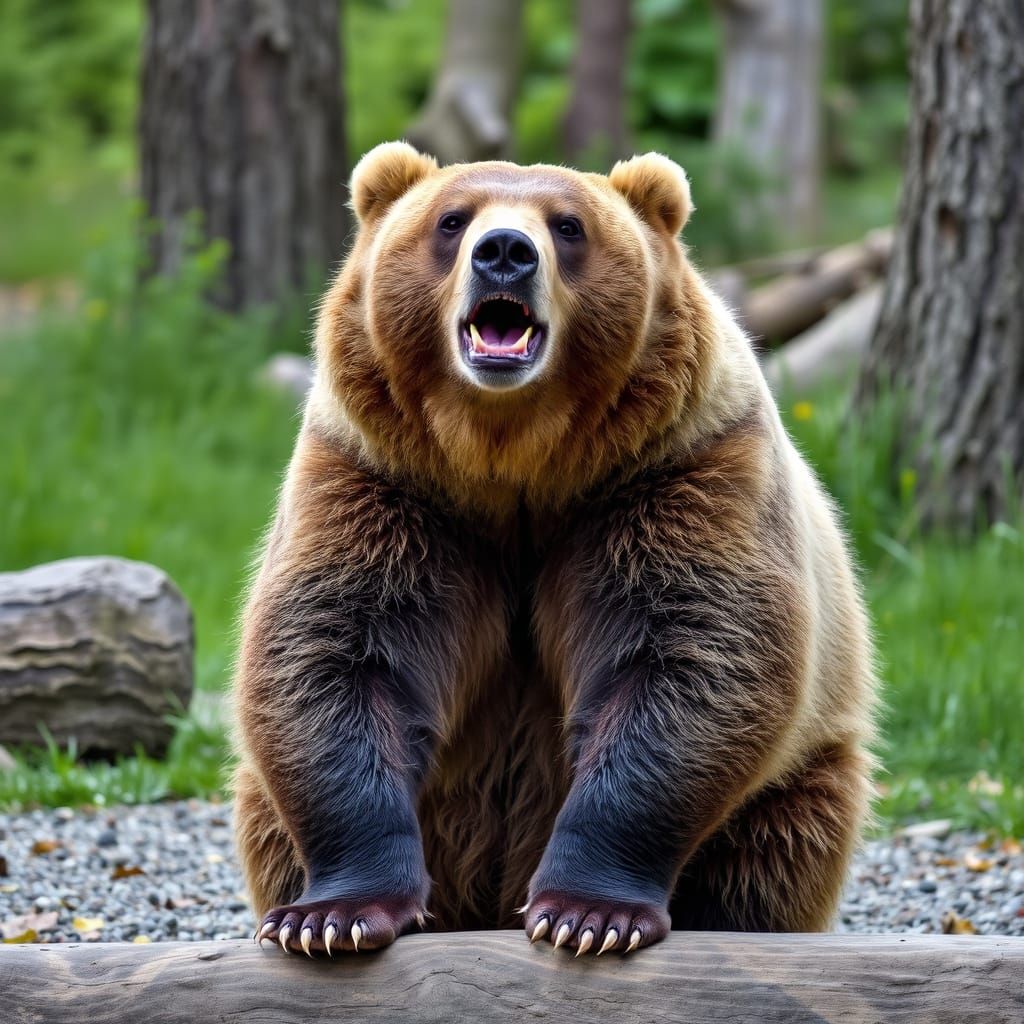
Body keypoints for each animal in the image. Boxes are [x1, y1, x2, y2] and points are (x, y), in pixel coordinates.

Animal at [233, 141, 876, 957]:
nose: (505, 252)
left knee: (772, 853)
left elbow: (686, 658)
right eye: (452, 219)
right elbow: (336, 653)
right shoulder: (383, 482)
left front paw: (588, 913)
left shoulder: (675, 473)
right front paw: (331, 916)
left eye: (568, 226)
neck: (515, 464)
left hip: (800, 778)